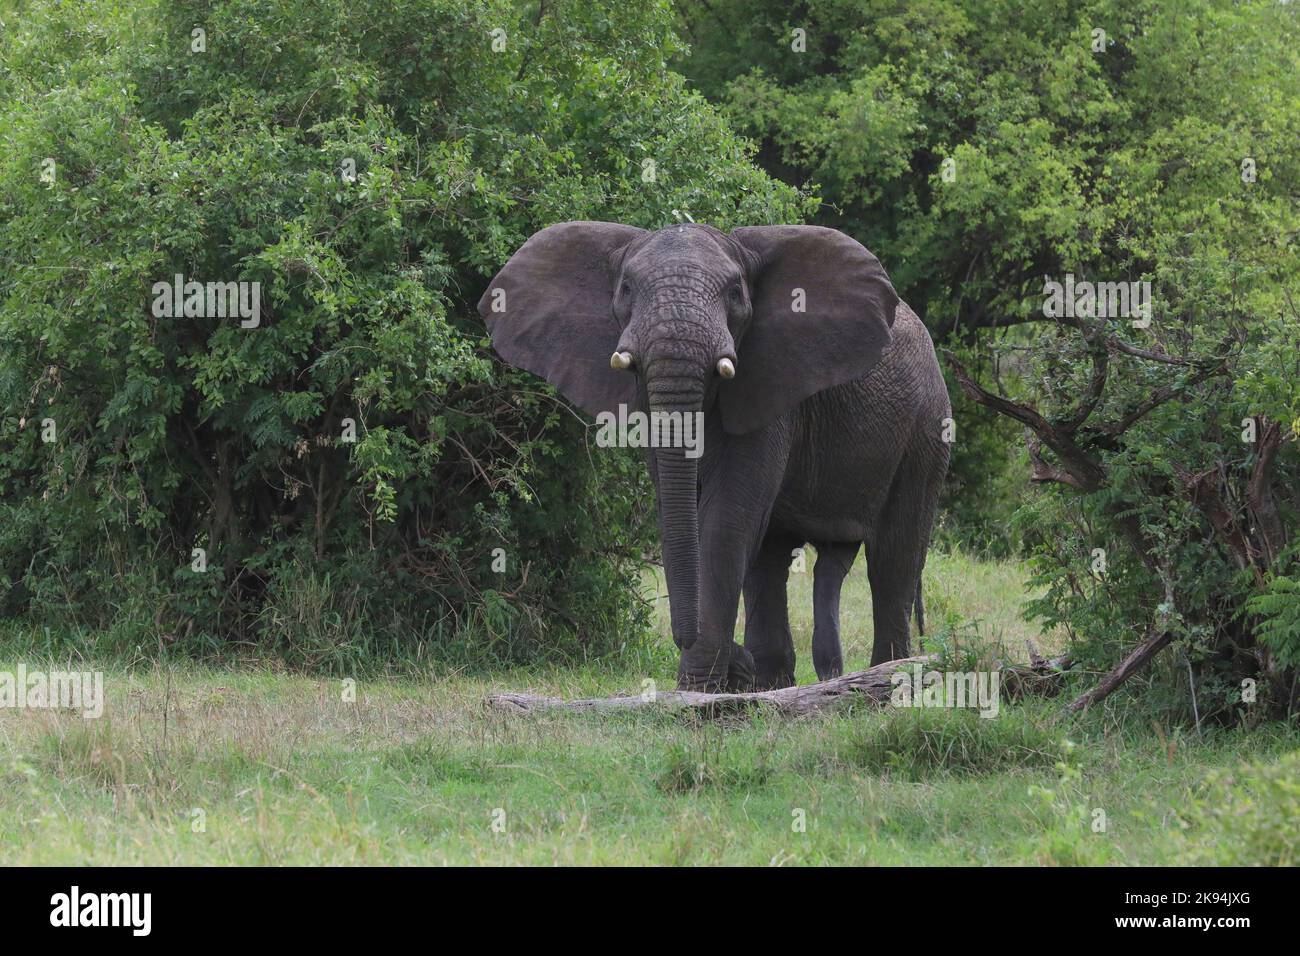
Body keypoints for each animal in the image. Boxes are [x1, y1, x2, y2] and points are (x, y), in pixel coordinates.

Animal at [478, 221, 950, 692]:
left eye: (736, 293)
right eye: (626, 288)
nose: (684, 639)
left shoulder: (770, 384)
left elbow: (726, 519)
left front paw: (696, 688)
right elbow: (684, 511)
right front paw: (720, 680)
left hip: (927, 428)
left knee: (893, 557)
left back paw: (887, 676)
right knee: (777, 558)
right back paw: (775, 682)